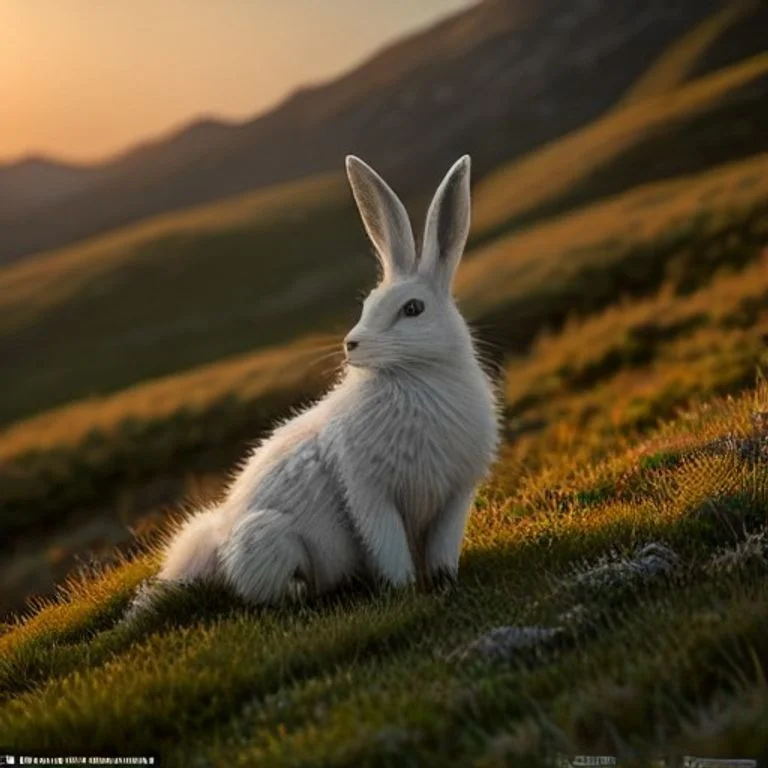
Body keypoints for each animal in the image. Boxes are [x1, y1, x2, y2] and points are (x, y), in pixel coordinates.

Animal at [153, 154, 500, 606]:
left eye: (413, 308)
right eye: (367, 304)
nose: (351, 344)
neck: (414, 377)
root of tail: (221, 543)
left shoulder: (455, 496)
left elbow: (442, 549)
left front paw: (443, 582)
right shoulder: (369, 494)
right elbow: (388, 547)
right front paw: (405, 590)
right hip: (271, 540)